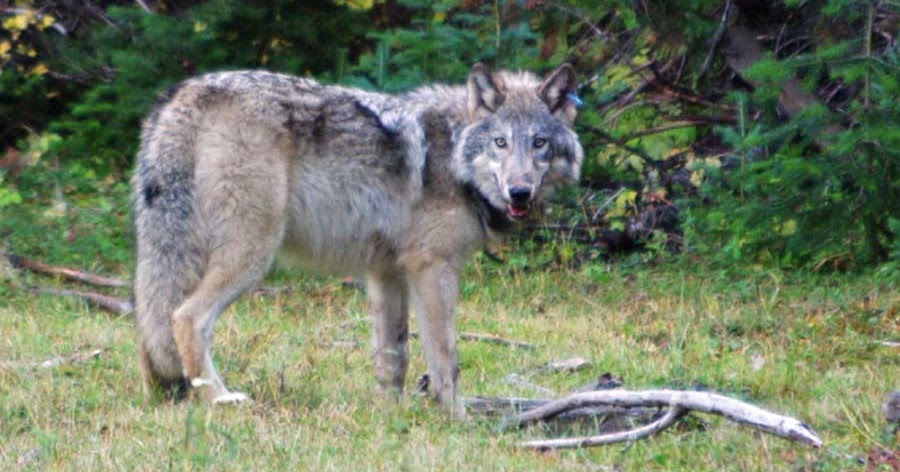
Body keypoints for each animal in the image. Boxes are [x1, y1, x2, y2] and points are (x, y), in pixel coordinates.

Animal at [133, 63, 583, 415]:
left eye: (539, 143)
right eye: (500, 143)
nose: (519, 193)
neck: (455, 156)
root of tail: (188, 90)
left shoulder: (386, 271)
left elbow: (393, 357)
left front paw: (390, 416)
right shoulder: (432, 269)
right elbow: (445, 360)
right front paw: (457, 421)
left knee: (153, 321)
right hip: (252, 256)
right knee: (185, 318)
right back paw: (220, 400)